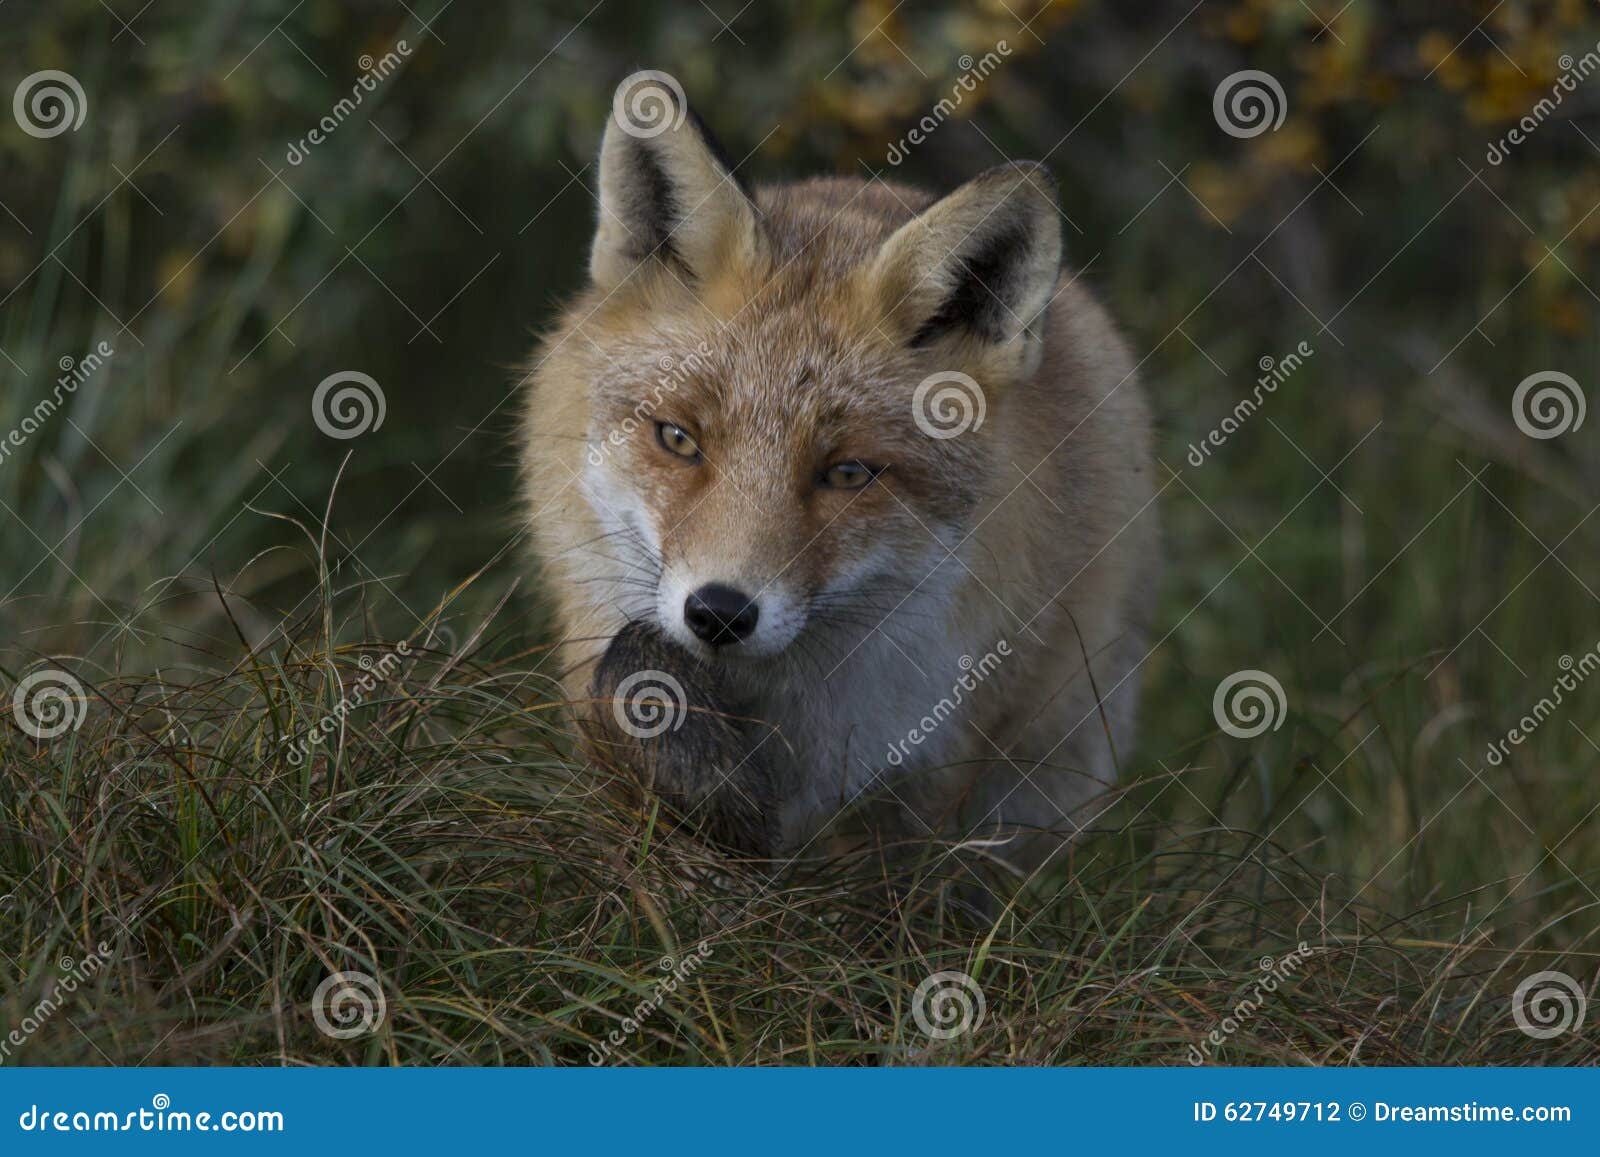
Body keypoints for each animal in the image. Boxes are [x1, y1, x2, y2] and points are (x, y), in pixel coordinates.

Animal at [520, 75, 1160, 870]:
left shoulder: (923, 776)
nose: (719, 613)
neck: (772, 709)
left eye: (849, 473)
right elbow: (624, 678)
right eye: (678, 438)